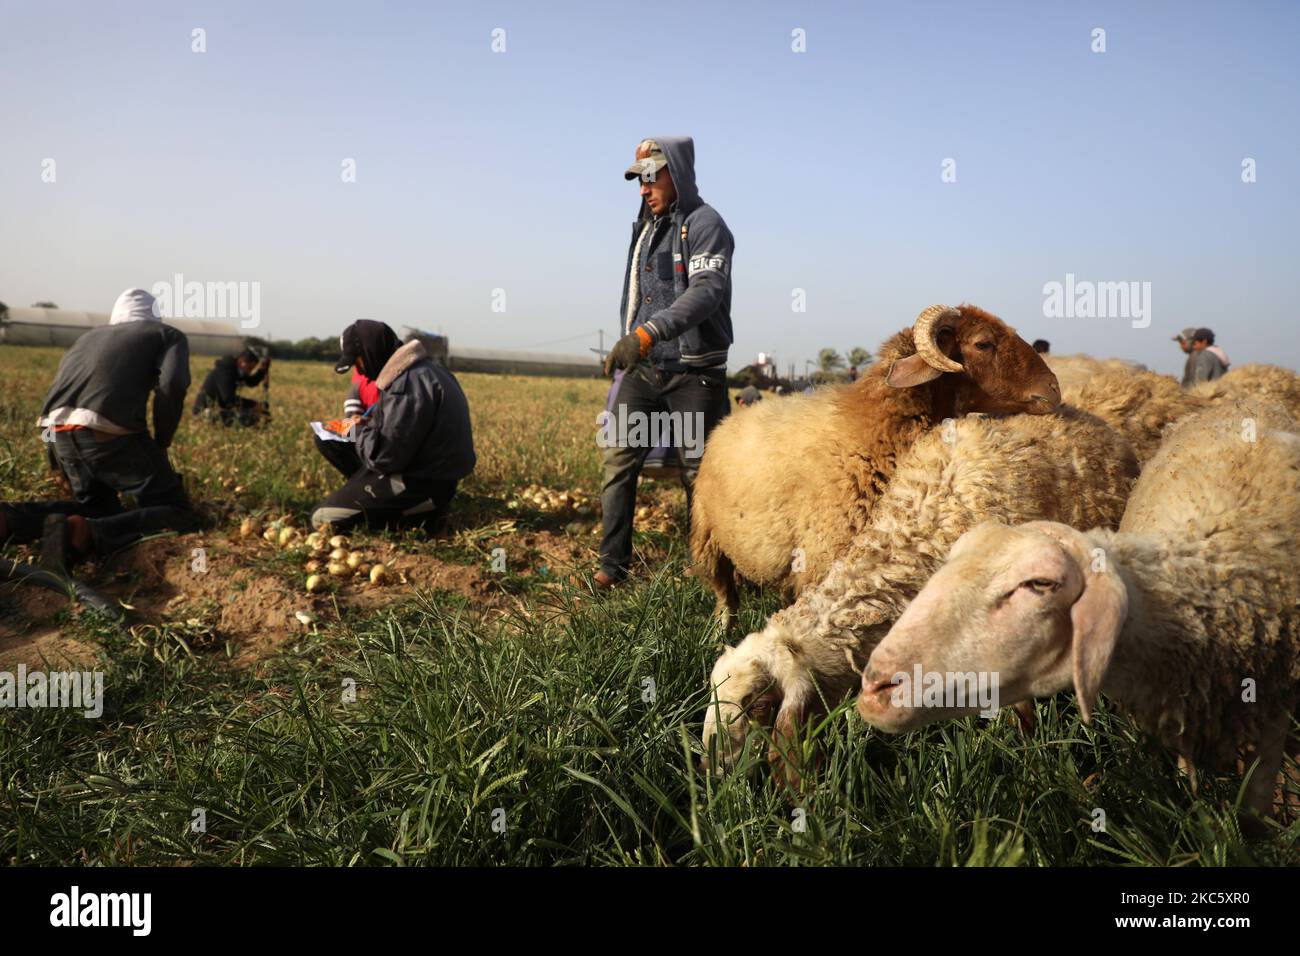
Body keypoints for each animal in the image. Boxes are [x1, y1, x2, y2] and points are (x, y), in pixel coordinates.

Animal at [691, 304, 1061, 633]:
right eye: (983, 343)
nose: (1054, 388)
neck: (874, 432)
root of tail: (727, 422)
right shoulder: (826, 563)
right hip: (708, 540)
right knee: (725, 598)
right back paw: (721, 636)